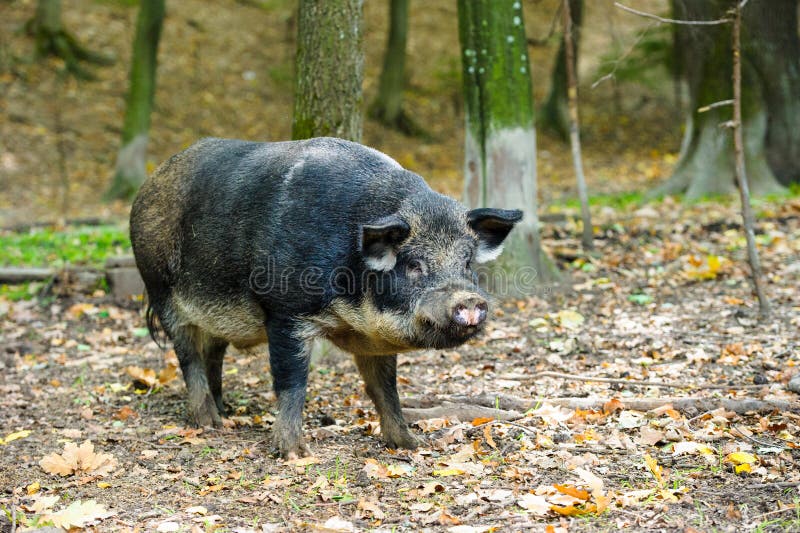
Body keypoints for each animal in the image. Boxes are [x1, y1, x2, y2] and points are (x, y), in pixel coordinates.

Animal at [130, 137, 522, 458]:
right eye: (413, 265)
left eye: (467, 262)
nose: (468, 300)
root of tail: (149, 183)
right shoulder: (285, 312)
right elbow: (292, 382)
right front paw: (294, 453)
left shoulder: (374, 339)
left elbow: (385, 389)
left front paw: (410, 445)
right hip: (159, 288)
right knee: (188, 356)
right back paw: (208, 423)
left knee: (213, 352)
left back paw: (224, 414)